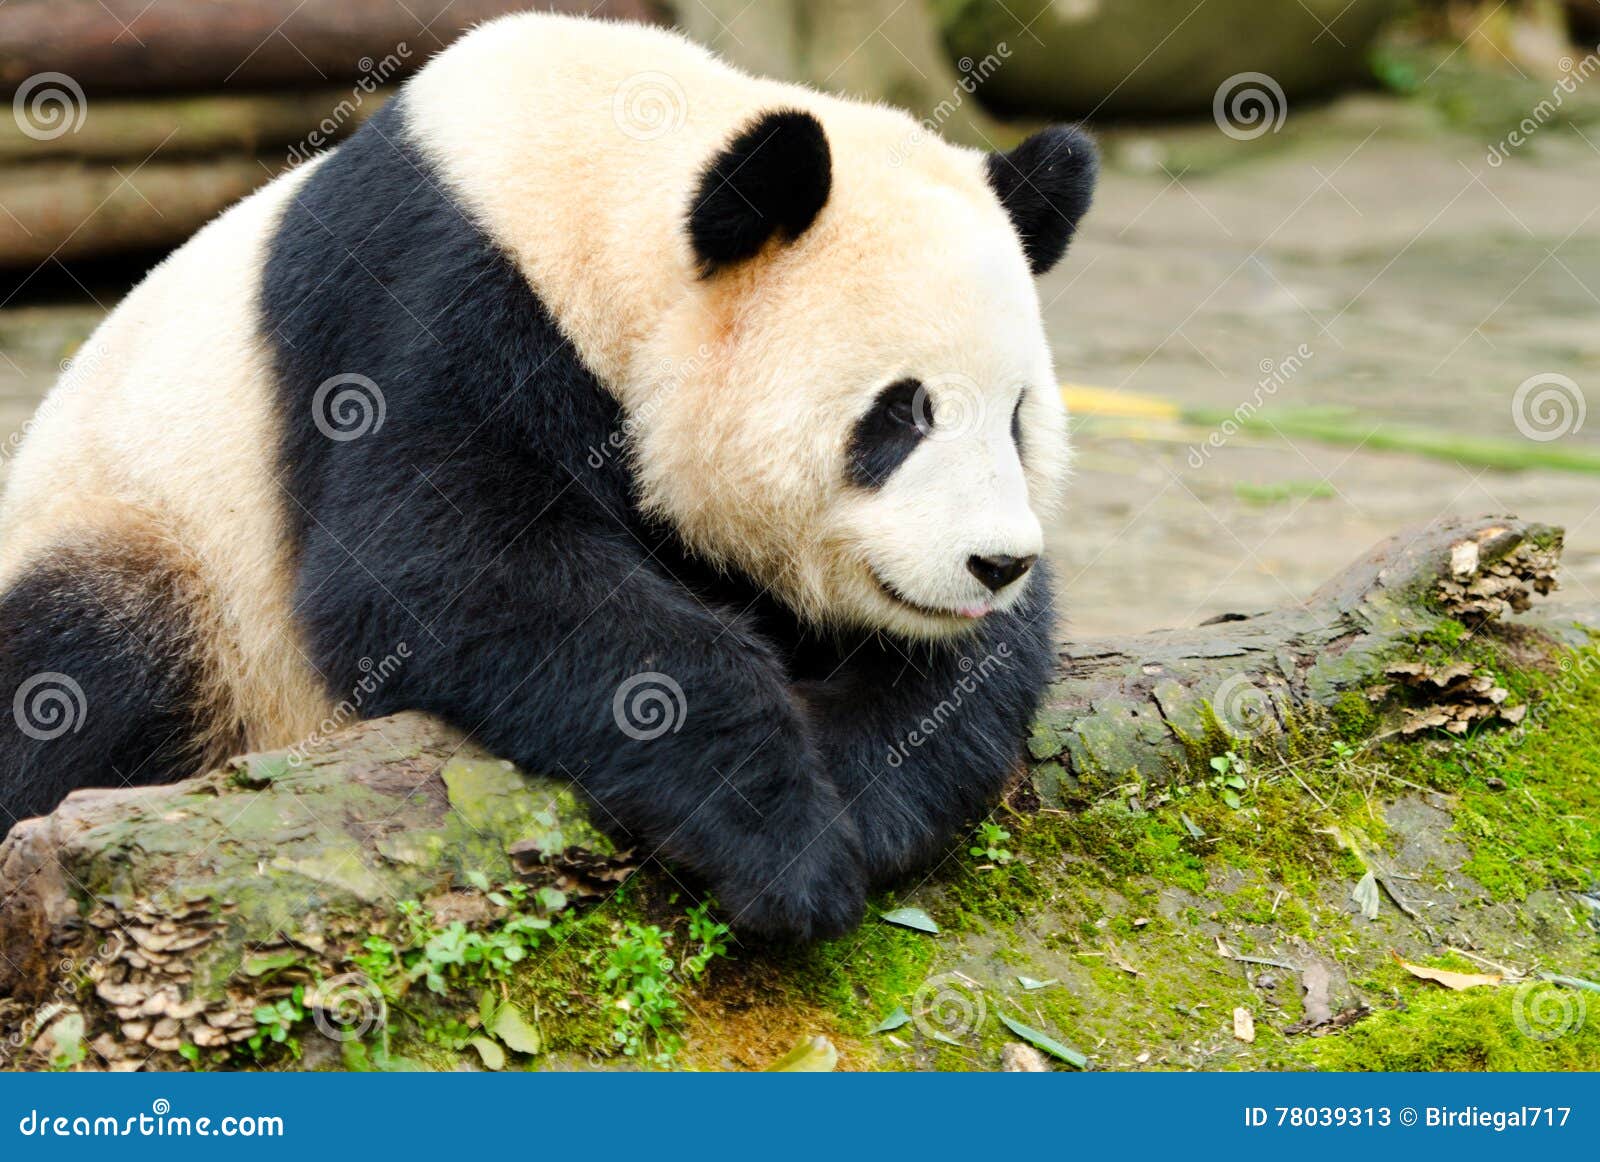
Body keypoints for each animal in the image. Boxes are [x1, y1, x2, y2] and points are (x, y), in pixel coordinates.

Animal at [0, 13, 1095, 940]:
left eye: (1017, 418)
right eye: (902, 413)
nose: (991, 561)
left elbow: (975, 658)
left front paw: (865, 790)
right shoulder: (426, 307)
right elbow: (450, 563)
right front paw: (783, 841)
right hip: (151, 545)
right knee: (91, 658)